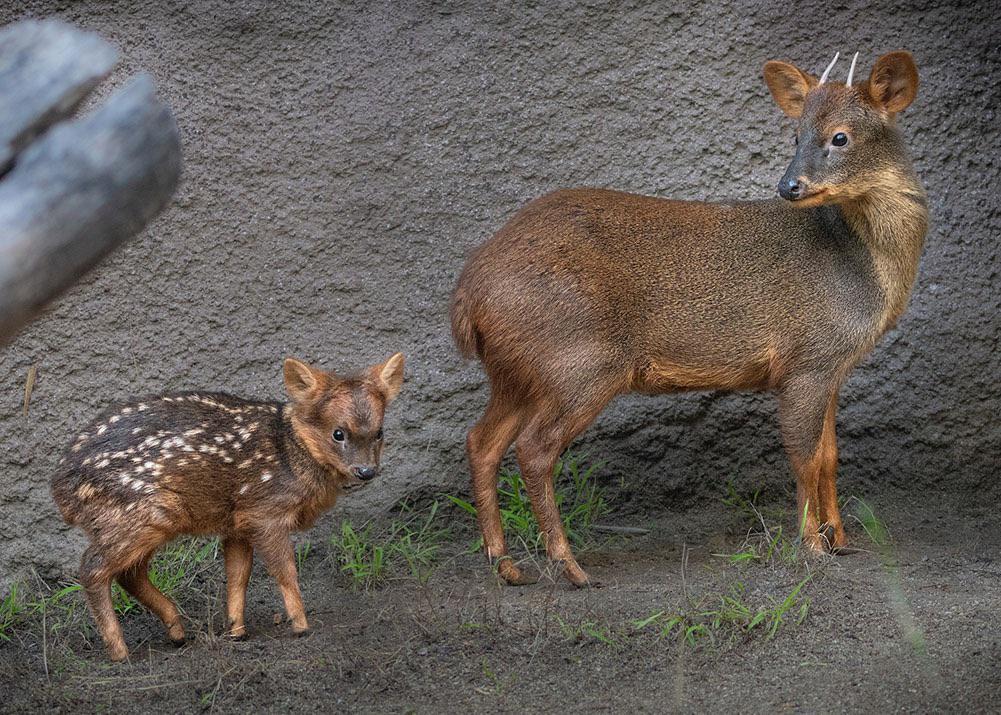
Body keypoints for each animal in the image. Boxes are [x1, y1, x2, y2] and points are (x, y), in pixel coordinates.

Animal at [51, 353, 404, 661]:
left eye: (380, 432)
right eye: (338, 433)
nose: (366, 471)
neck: (291, 452)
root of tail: (60, 490)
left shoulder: (238, 520)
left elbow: (237, 575)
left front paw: (236, 631)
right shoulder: (266, 512)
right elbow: (285, 570)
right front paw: (302, 626)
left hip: (140, 520)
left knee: (129, 572)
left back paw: (177, 631)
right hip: (139, 514)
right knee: (93, 568)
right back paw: (120, 652)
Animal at [450, 51, 927, 588]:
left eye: (840, 136)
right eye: (796, 135)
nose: (789, 186)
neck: (867, 271)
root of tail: (468, 296)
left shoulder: (832, 369)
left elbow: (829, 456)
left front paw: (840, 540)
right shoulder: (807, 361)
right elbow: (804, 458)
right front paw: (812, 547)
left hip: (517, 371)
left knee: (482, 442)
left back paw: (506, 564)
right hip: (579, 362)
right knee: (533, 450)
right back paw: (570, 567)